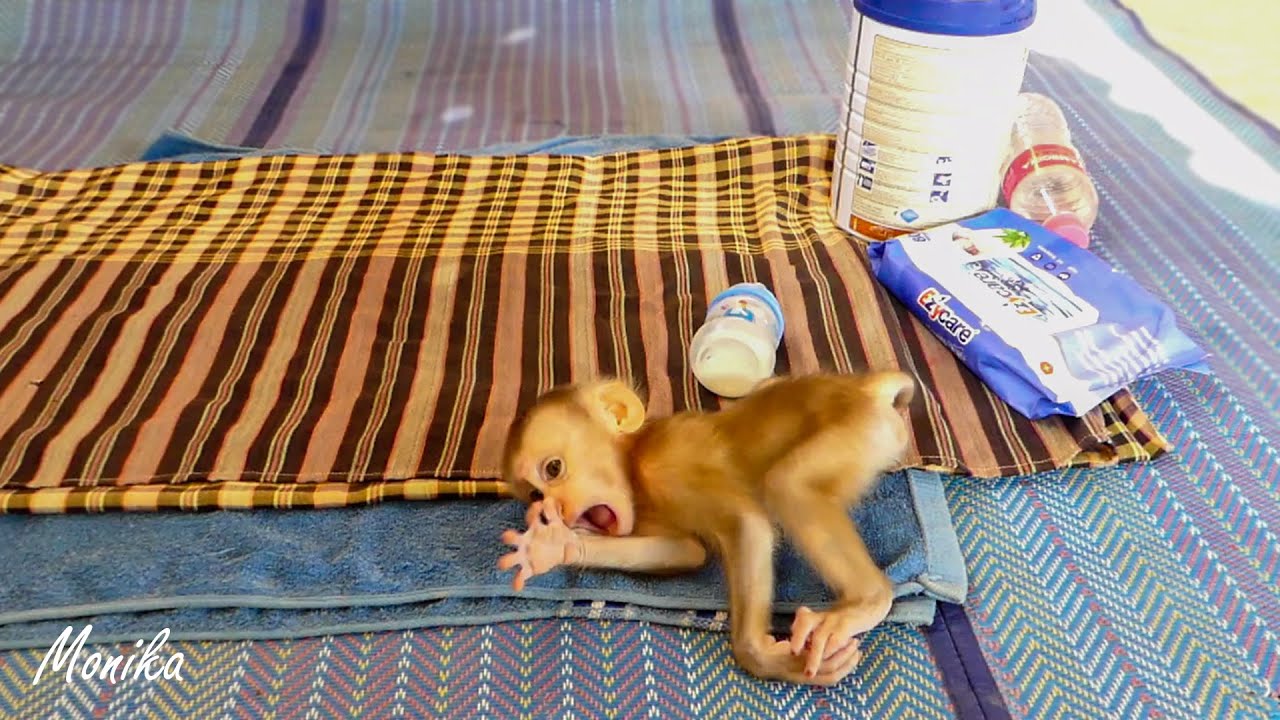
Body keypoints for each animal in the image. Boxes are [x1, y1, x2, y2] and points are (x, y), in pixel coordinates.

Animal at [496, 370, 916, 686]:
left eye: (553, 468)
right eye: (535, 495)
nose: (558, 511)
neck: (635, 466)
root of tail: (863, 390)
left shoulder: (668, 465)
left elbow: (747, 524)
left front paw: (761, 656)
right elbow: (687, 551)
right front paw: (556, 546)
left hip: (860, 429)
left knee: (788, 483)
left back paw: (867, 600)